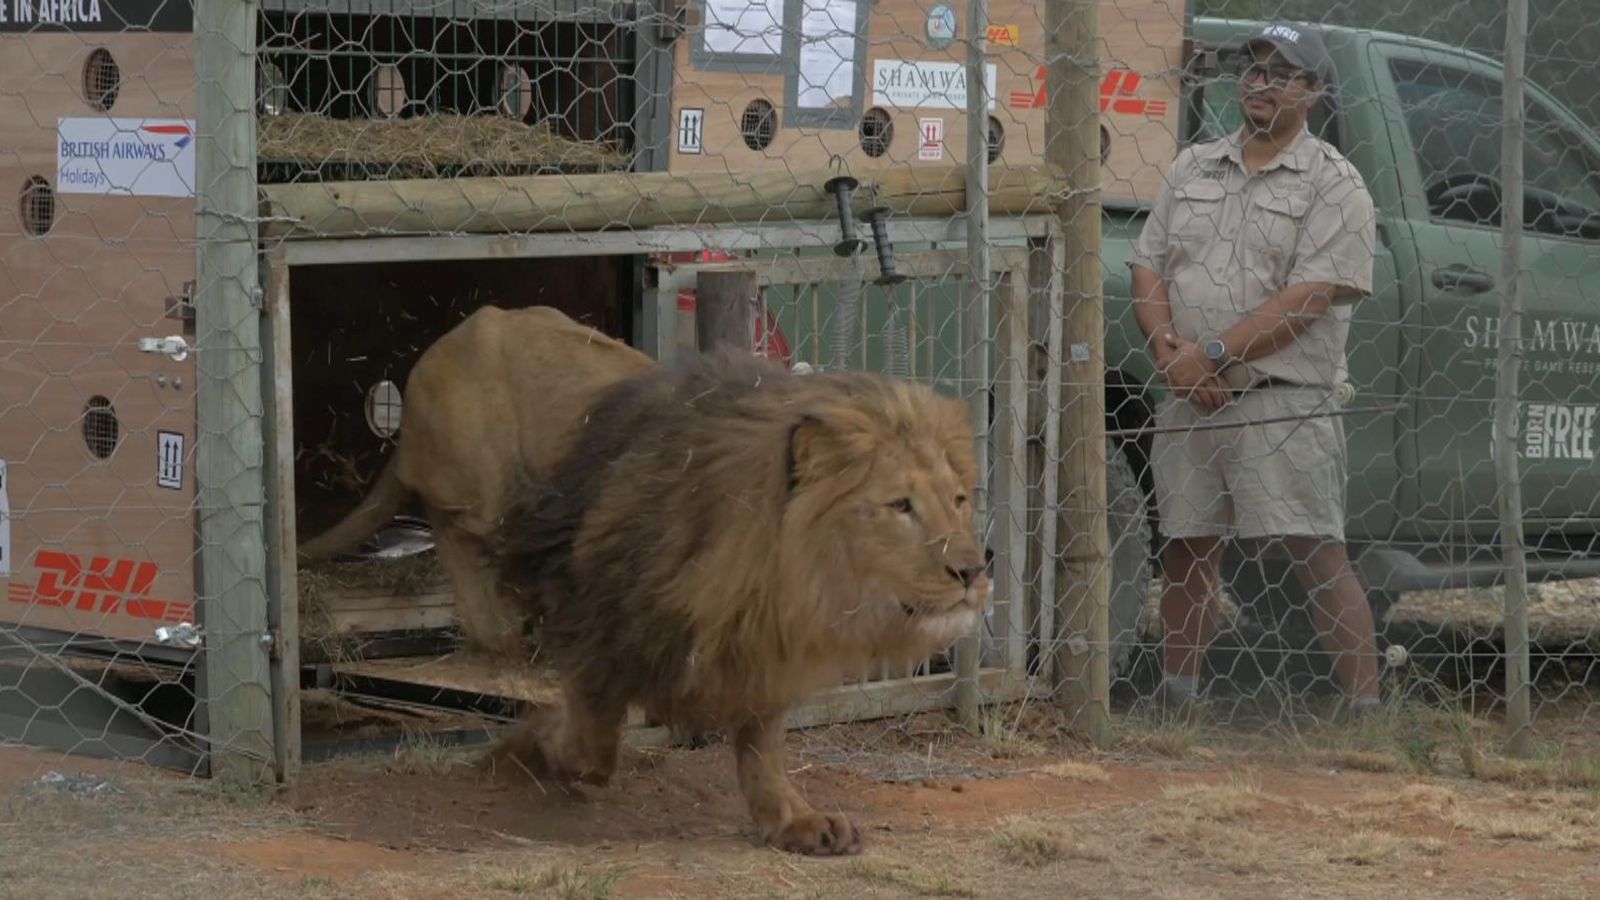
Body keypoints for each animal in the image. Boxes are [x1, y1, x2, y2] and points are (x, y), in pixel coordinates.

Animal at [488, 347, 992, 856]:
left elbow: (761, 747)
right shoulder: (596, 618)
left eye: (958, 500)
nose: (974, 570)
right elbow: (591, 740)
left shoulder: (762, 646)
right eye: (901, 505)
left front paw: (794, 819)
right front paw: (534, 747)